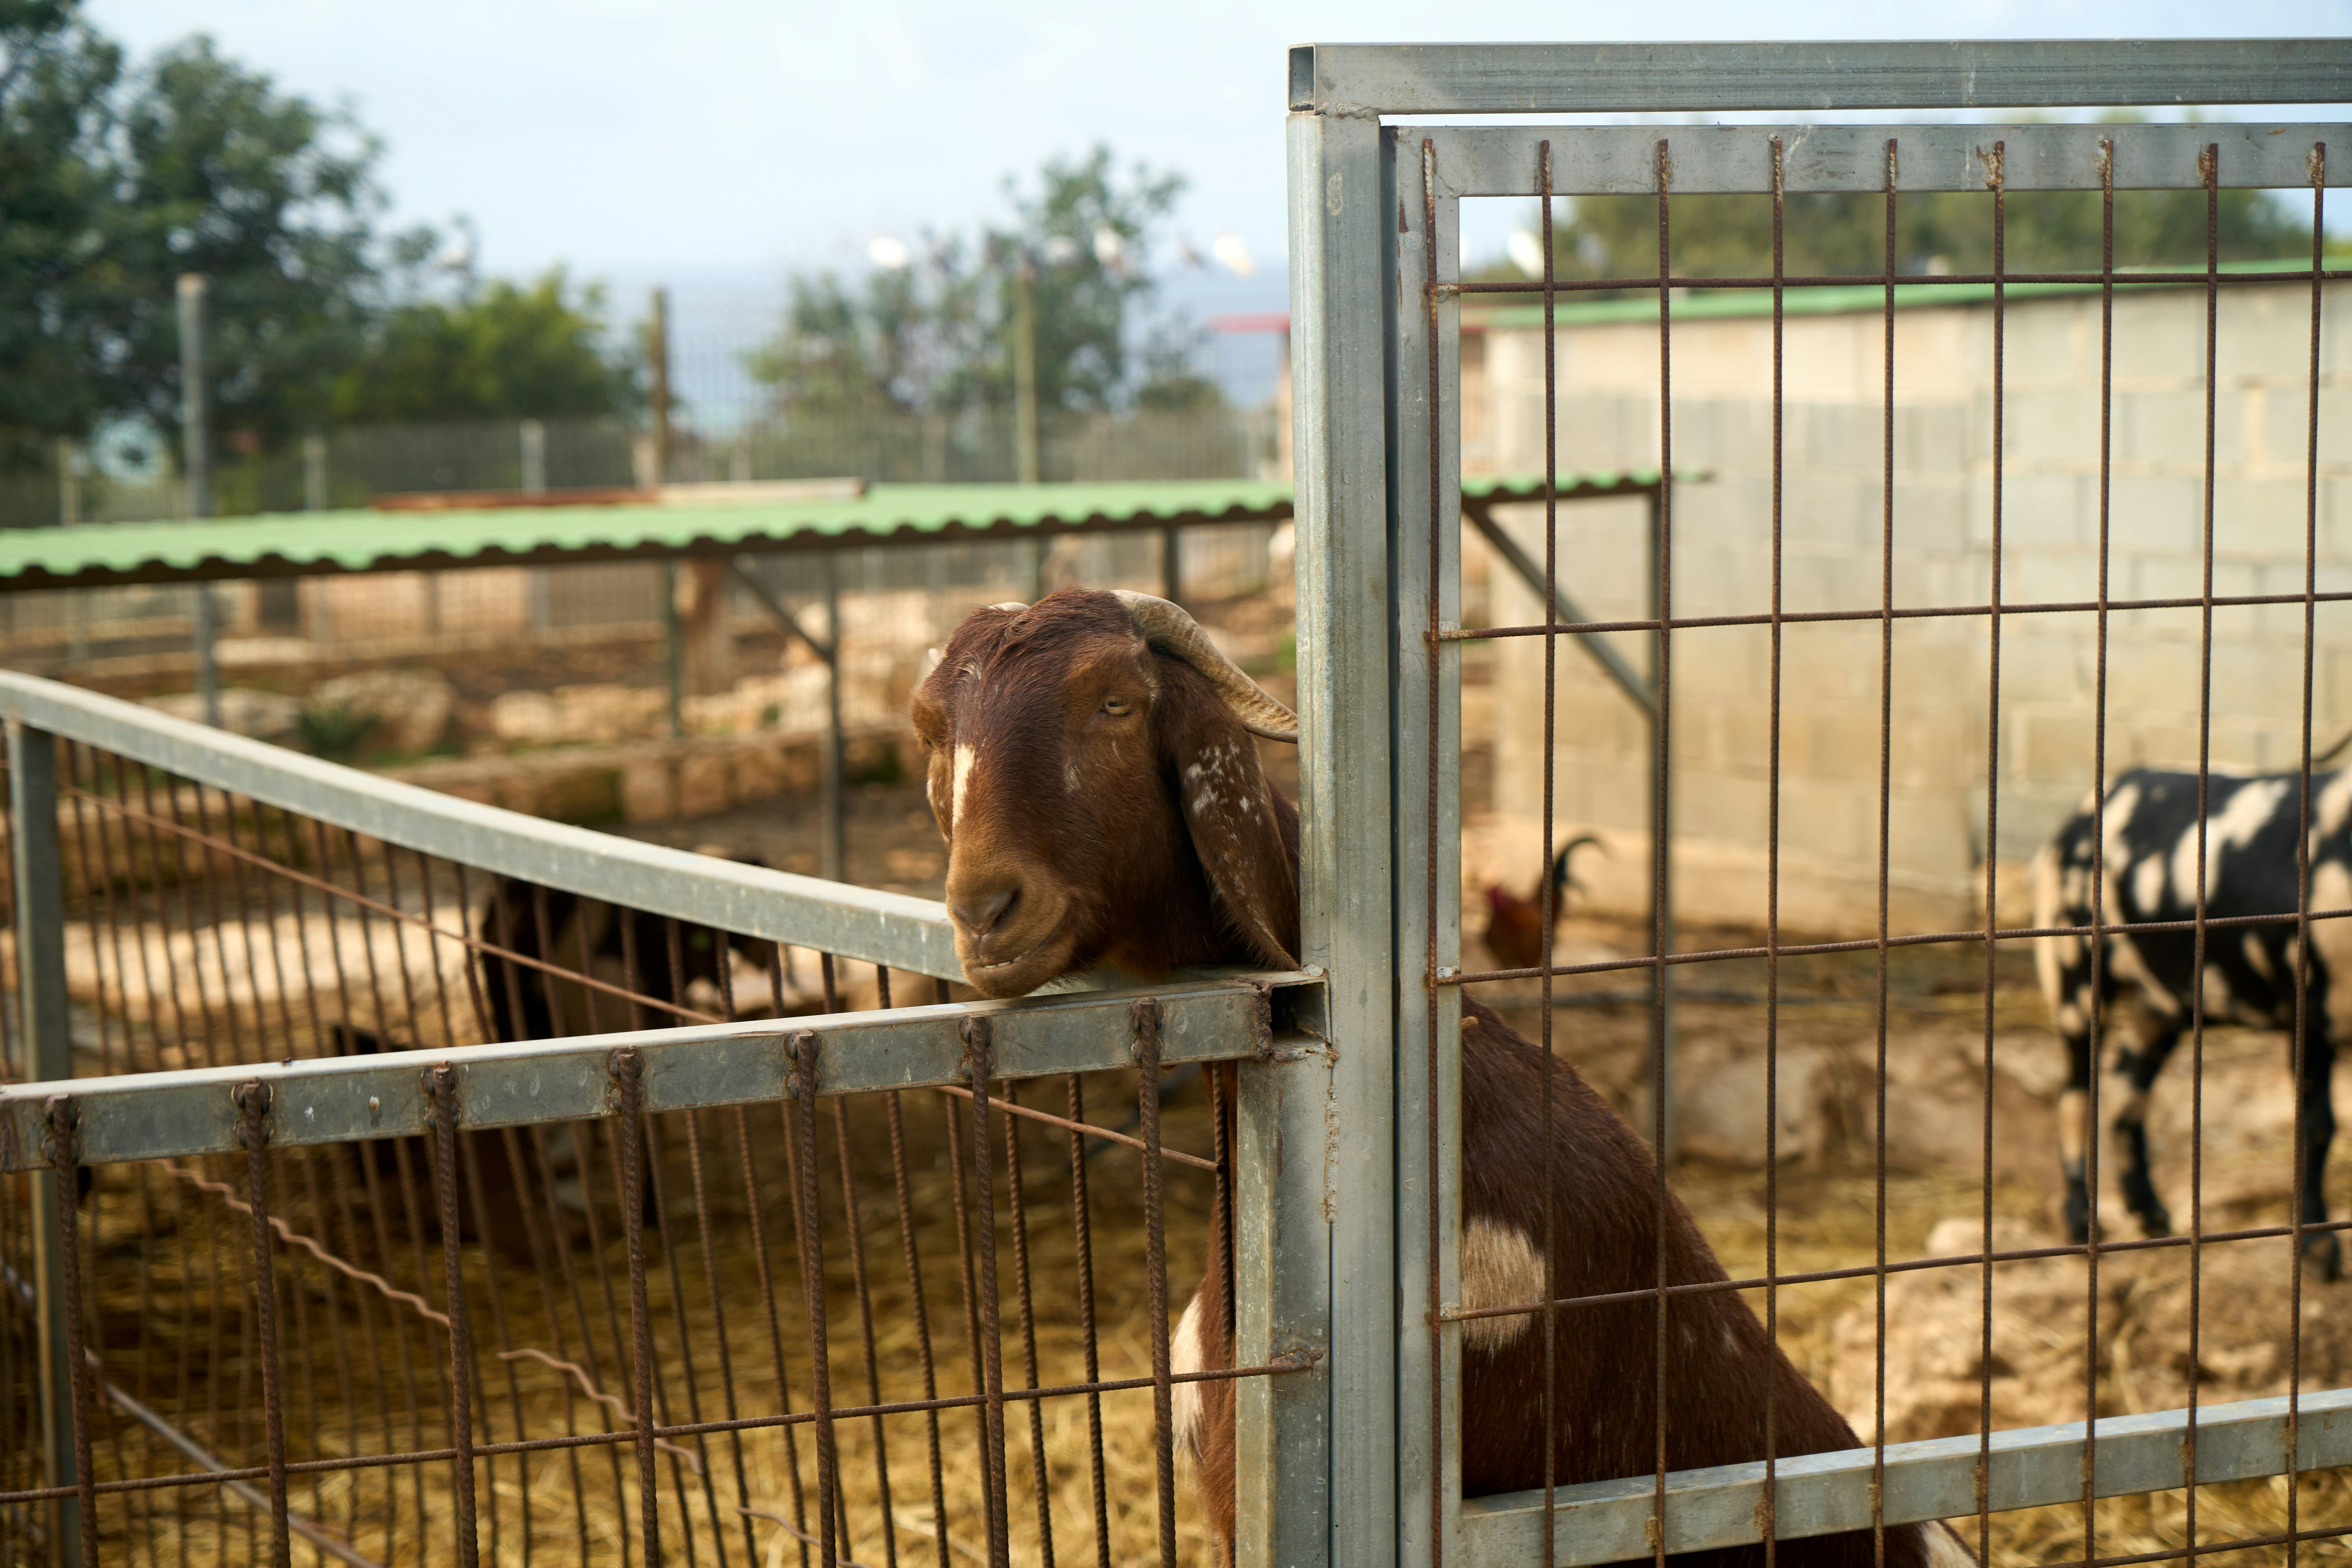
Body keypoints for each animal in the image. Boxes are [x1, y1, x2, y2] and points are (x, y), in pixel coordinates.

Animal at [2034, 766, 2345, 1279]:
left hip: (2159, 1003)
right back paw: (2081, 1222)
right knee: (2077, 1090)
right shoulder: (2313, 1010)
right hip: (2074, 971)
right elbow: (2317, 1125)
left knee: (2126, 1087)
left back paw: (2150, 1214)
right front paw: (2320, 1251)